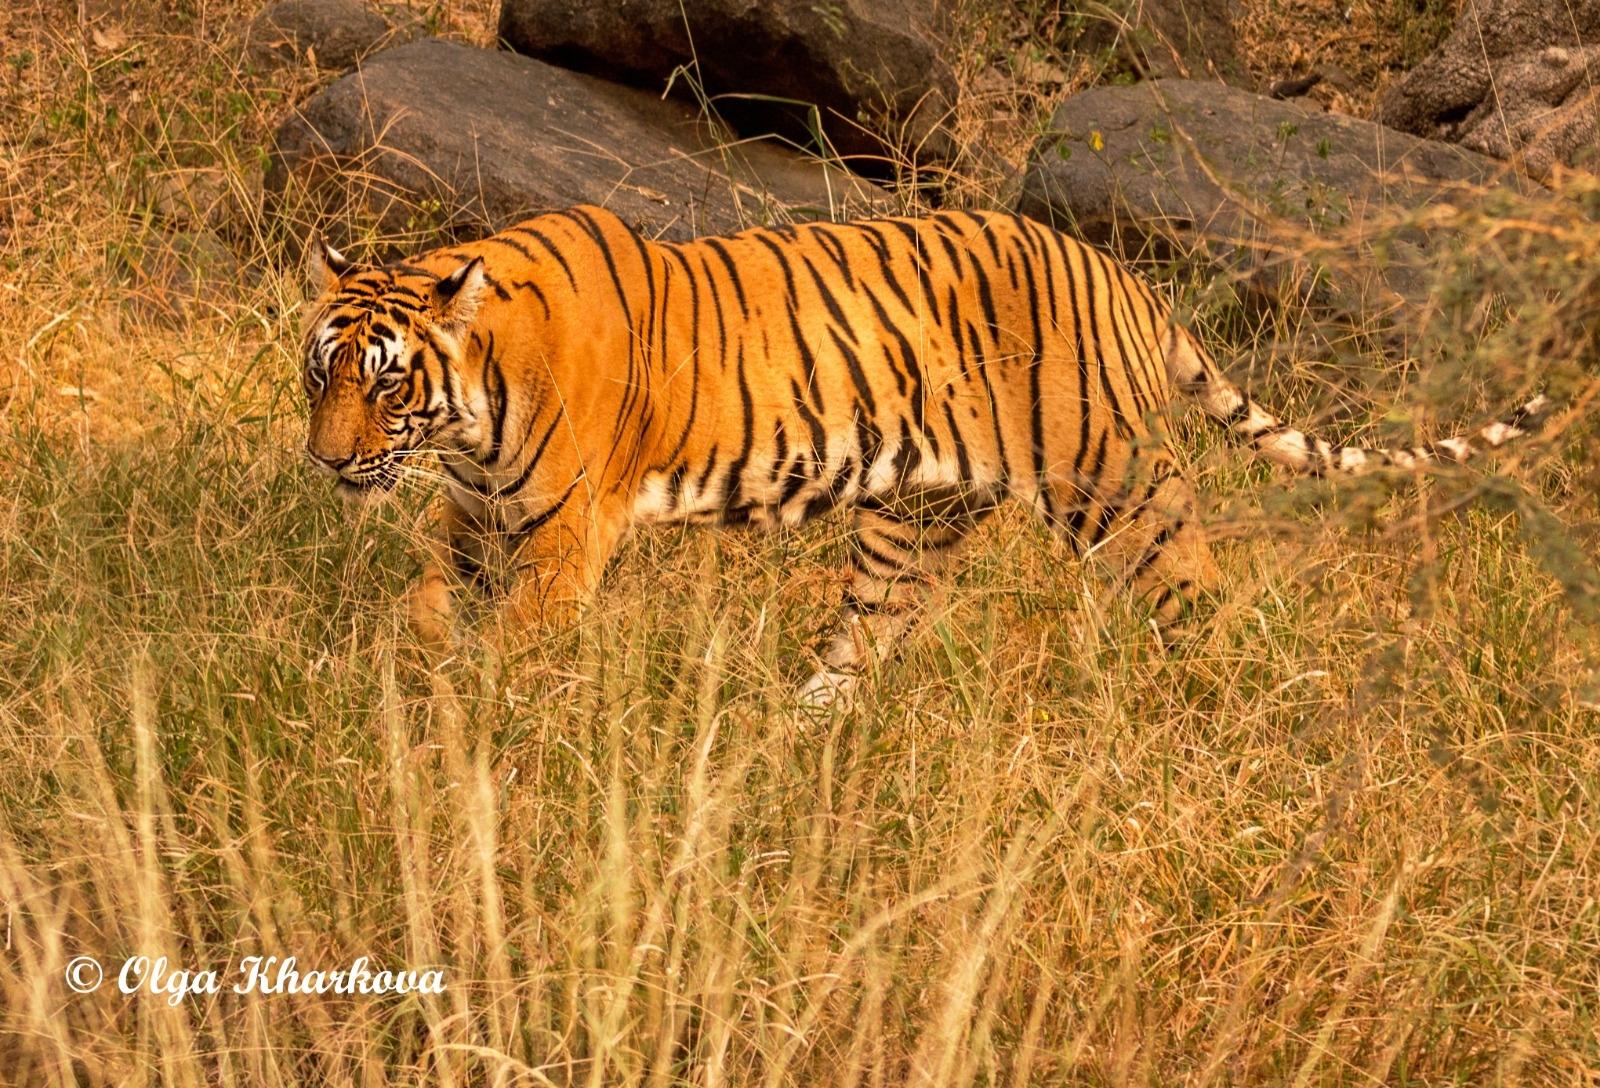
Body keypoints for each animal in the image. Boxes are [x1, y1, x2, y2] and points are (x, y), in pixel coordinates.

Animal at [302, 204, 1548, 704]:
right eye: (321, 375)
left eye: (385, 380)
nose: (323, 463)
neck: (467, 415)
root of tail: (1126, 277)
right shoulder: (472, 518)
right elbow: (421, 606)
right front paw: (385, 673)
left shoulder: (562, 532)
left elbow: (510, 642)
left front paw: (474, 717)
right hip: (912, 519)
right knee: (866, 638)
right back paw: (788, 732)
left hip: (1112, 483)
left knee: (1193, 584)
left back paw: (1226, 694)